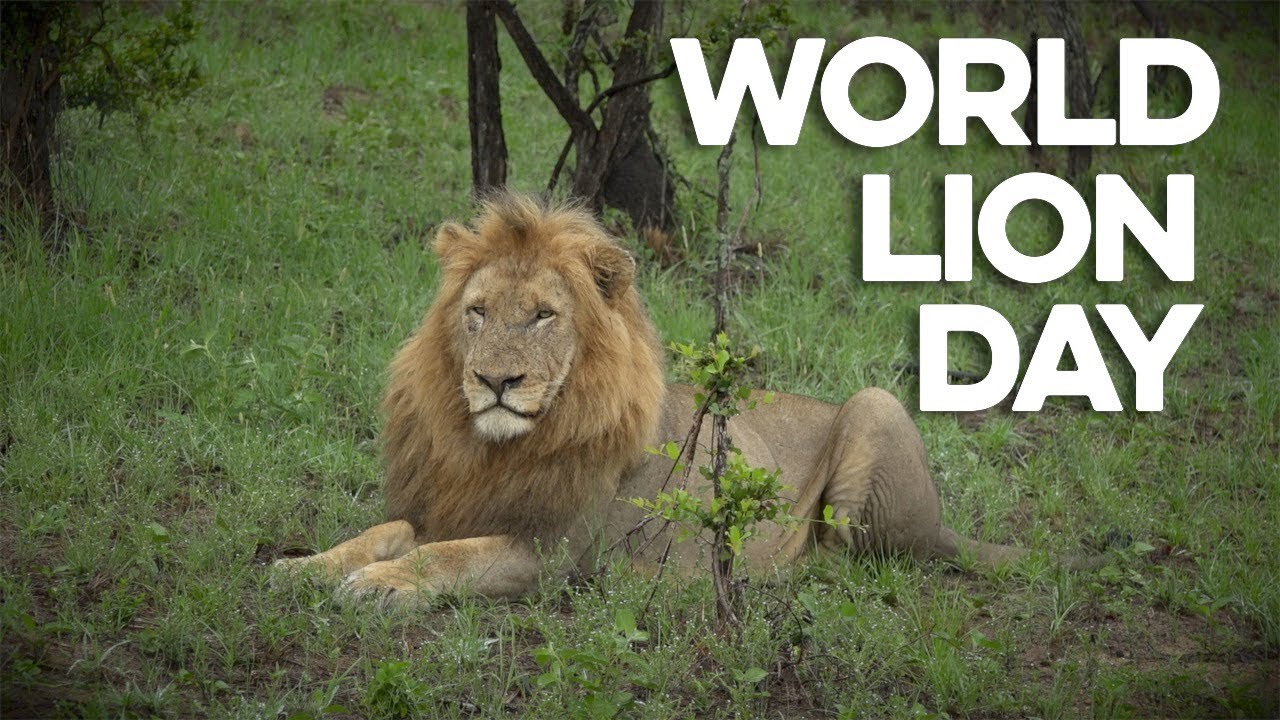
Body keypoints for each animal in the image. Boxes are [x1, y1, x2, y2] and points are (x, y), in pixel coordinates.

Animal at [275, 192, 1038, 604]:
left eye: (543, 316)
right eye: (478, 313)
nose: (496, 382)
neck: (493, 449)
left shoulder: (556, 552)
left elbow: (447, 558)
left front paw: (380, 585)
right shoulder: (443, 505)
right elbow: (385, 532)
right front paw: (304, 568)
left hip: (874, 408)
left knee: (848, 560)